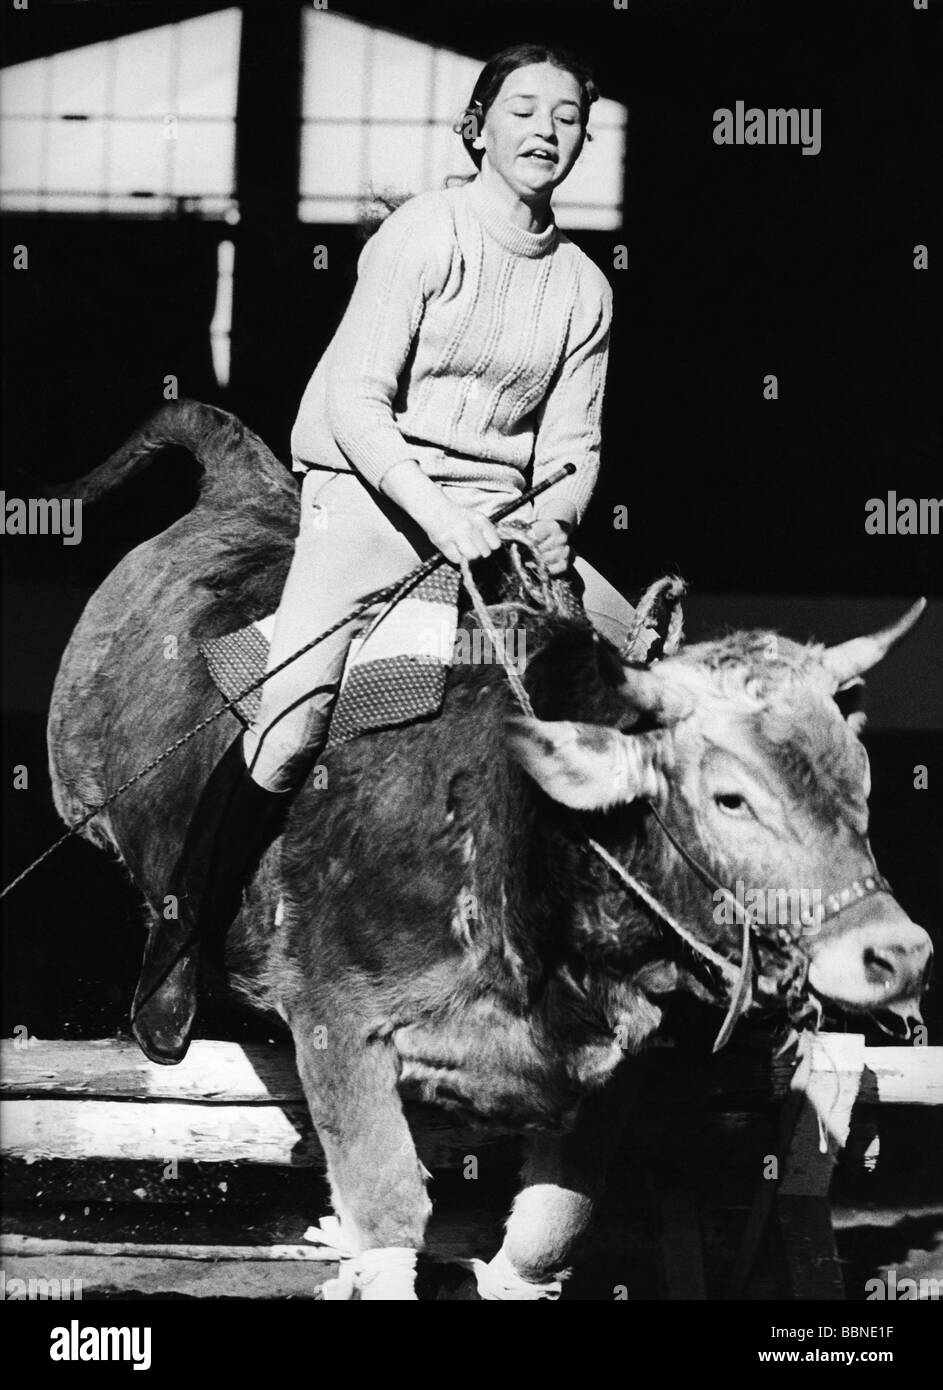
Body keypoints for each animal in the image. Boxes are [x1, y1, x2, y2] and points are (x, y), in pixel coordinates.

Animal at [46, 402, 932, 1299]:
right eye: (729, 796)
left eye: (859, 775)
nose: (895, 952)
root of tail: (244, 490)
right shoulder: (336, 1023)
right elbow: (389, 1213)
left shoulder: (609, 1069)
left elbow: (547, 1231)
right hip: (87, 799)